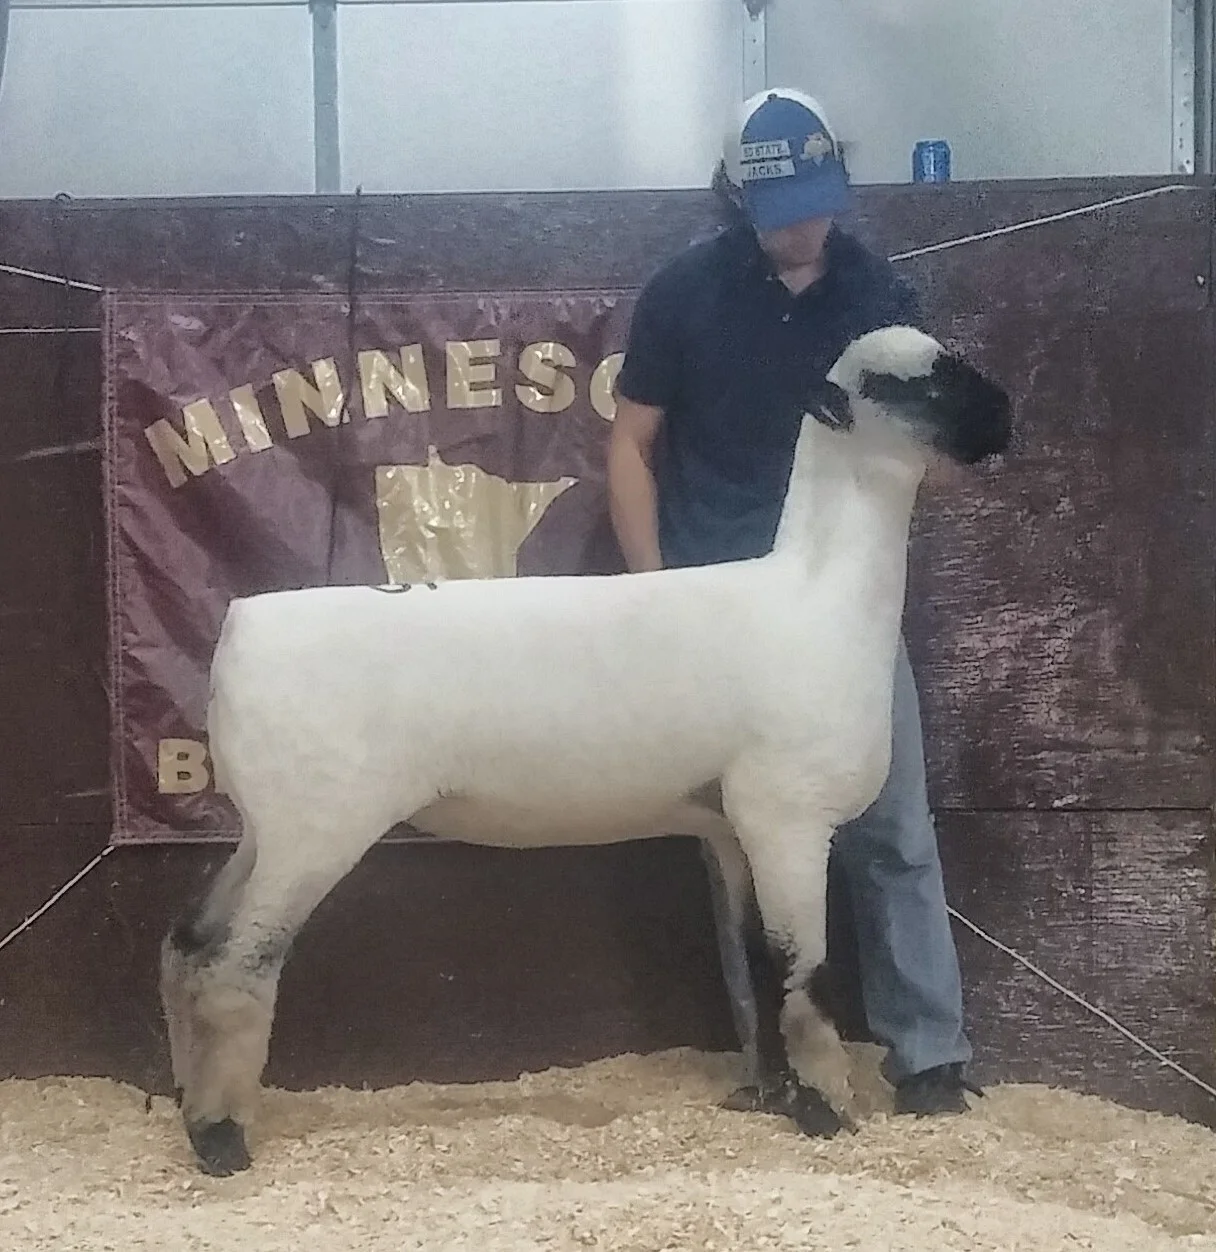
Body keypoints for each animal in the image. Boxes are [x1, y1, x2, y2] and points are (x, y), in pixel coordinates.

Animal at [160, 324, 1012, 1176]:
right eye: (908, 387)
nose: (1005, 417)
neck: (818, 596)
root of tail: (240, 629)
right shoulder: (788, 816)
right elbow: (806, 972)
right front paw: (827, 1108)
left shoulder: (731, 826)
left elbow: (755, 961)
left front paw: (775, 1094)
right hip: (317, 827)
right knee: (235, 970)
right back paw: (221, 1139)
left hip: (268, 827)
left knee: (189, 945)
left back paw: (187, 1102)